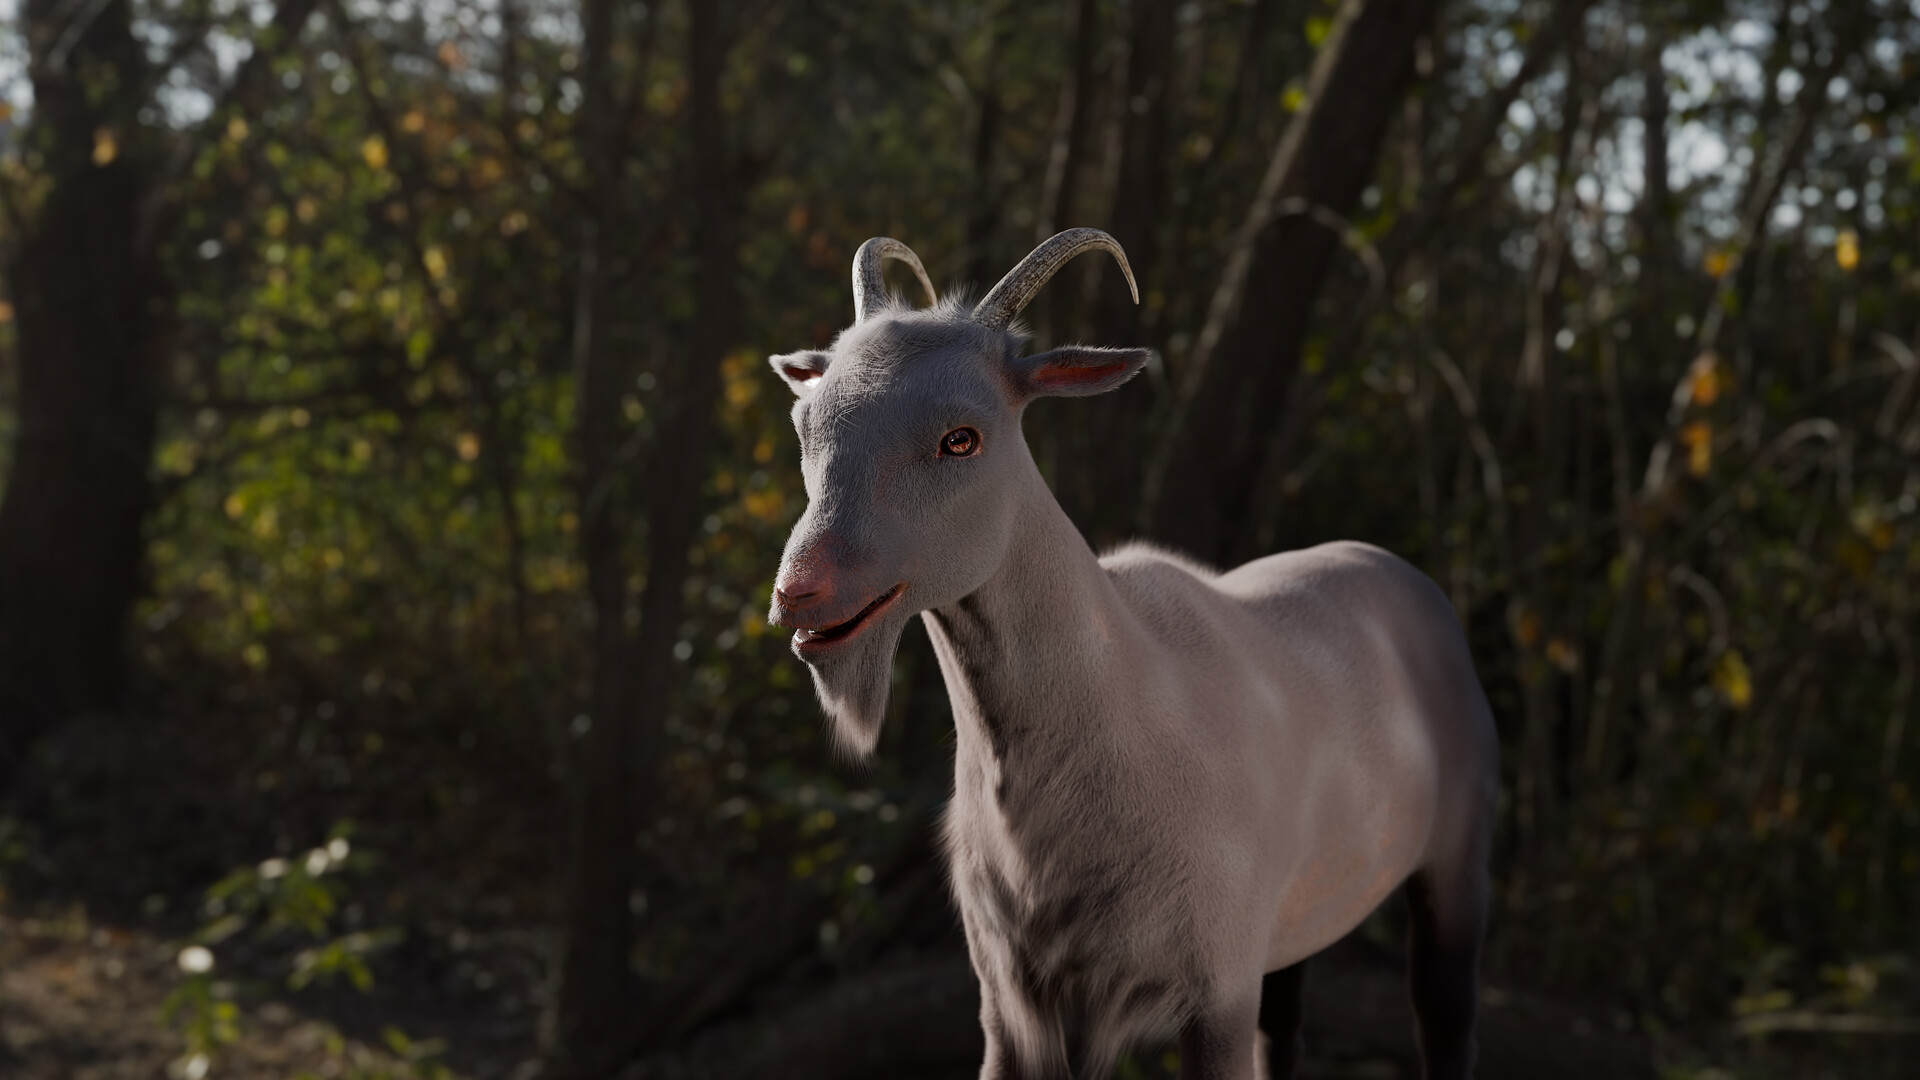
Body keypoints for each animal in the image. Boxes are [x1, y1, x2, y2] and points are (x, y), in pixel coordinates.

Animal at [765, 230, 1498, 1080]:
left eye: (961, 438)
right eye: (806, 423)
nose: (802, 592)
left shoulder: (1216, 986)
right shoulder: (1013, 1002)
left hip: (1456, 858)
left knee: (1445, 1012)